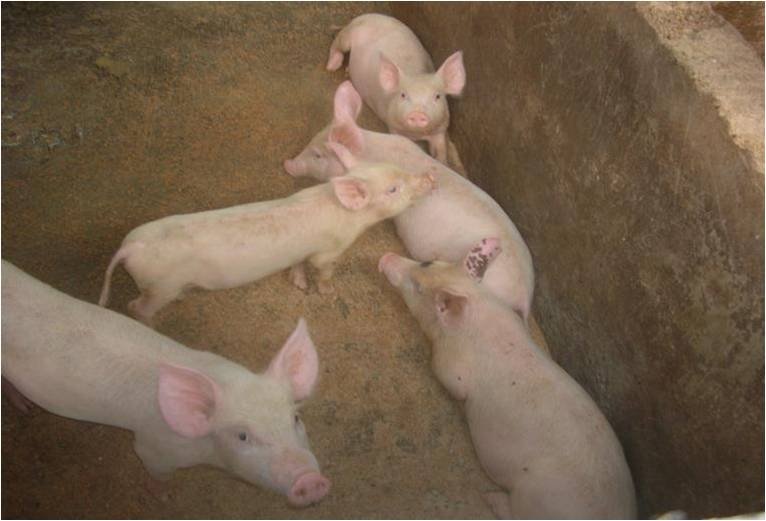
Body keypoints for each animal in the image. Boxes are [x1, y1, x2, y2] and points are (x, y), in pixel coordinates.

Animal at [1, 260, 330, 507]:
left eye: (296, 418)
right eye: (242, 436)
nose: (311, 480)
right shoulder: (153, 447)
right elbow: (156, 473)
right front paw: (164, 497)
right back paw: (24, 408)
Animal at [99, 161, 434, 325]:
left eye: (401, 171)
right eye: (393, 188)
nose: (430, 176)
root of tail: (130, 247)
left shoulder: (303, 250)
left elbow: (297, 263)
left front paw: (299, 284)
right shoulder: (329, 251)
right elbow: (323, 268)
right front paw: (328, 292)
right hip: (159, 286)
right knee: (135, 306)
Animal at [325, 13, 466, 163]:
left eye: (437, 96)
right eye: (403, 95)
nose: (418, 113)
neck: (418, 134)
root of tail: (364, 16)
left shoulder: (441, 128)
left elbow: (441, 151)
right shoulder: (394, 126)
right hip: (348, 35)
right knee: (337, 43)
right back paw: (332, 66)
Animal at [378, 243, 637, 519]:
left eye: (418, 287)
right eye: (428, 263)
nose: (385, 257)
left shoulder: (452, 367)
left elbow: (450, 381)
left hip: (533, 495)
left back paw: (489, 498)